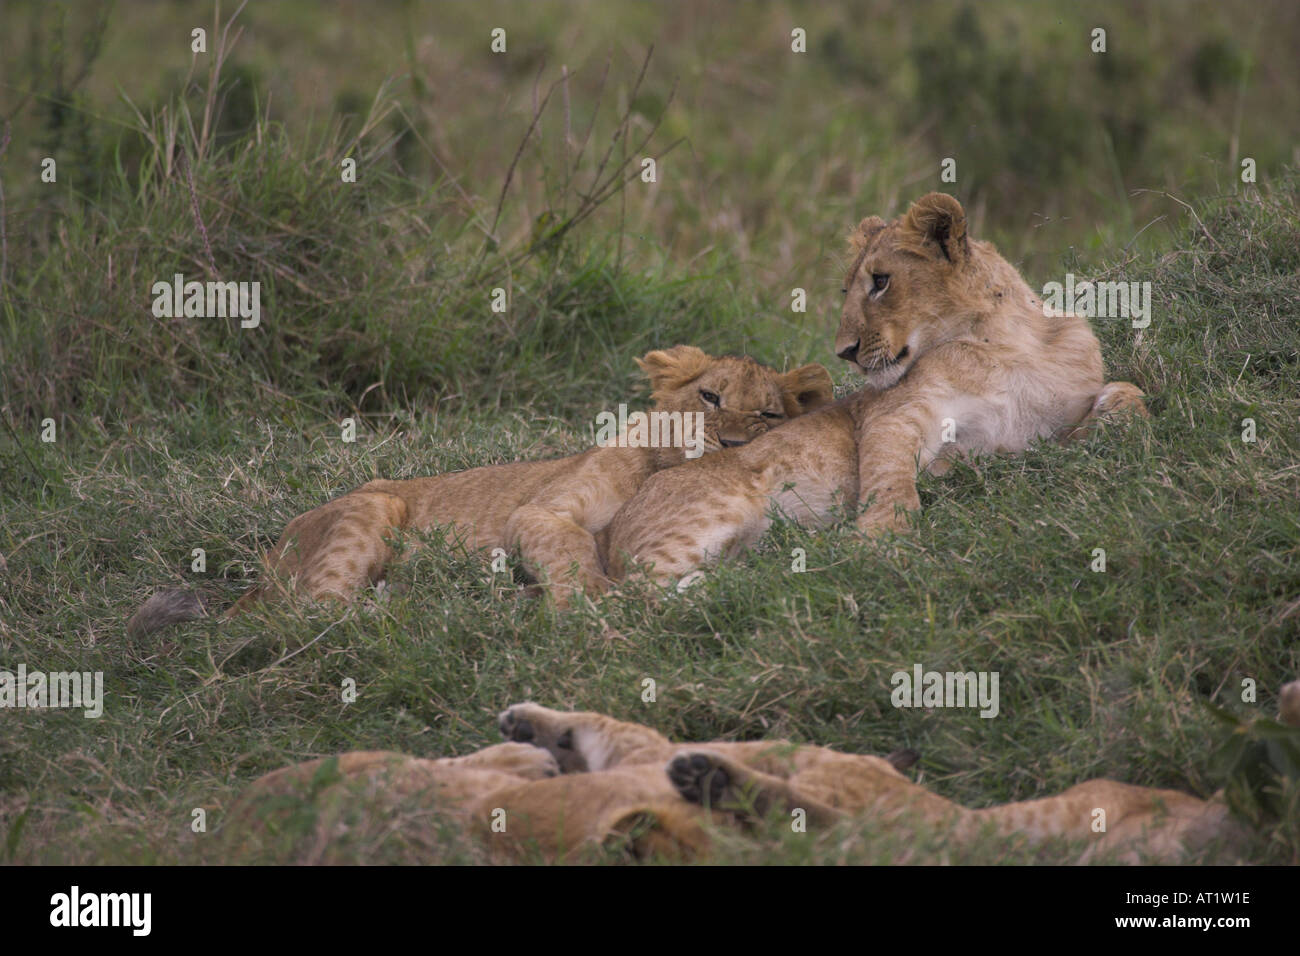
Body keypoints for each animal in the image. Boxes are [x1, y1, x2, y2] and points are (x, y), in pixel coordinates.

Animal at [127, 346, 833, 634]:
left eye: (767, 416)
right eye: (708, 397)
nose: (732, 445)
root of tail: (263, 569)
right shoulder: (539, 511)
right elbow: (573, 553)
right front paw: (594, 608)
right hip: (373, 504)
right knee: (312, 614)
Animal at [602, 193, 1149, 586]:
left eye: (881, 281)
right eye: (848, 289)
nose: (843, 351)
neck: (1004, 344)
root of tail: (610, 533)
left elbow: (1127, 392)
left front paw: (1109, 435)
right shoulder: (896, 415)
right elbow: (891, 480)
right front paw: (880, 540)